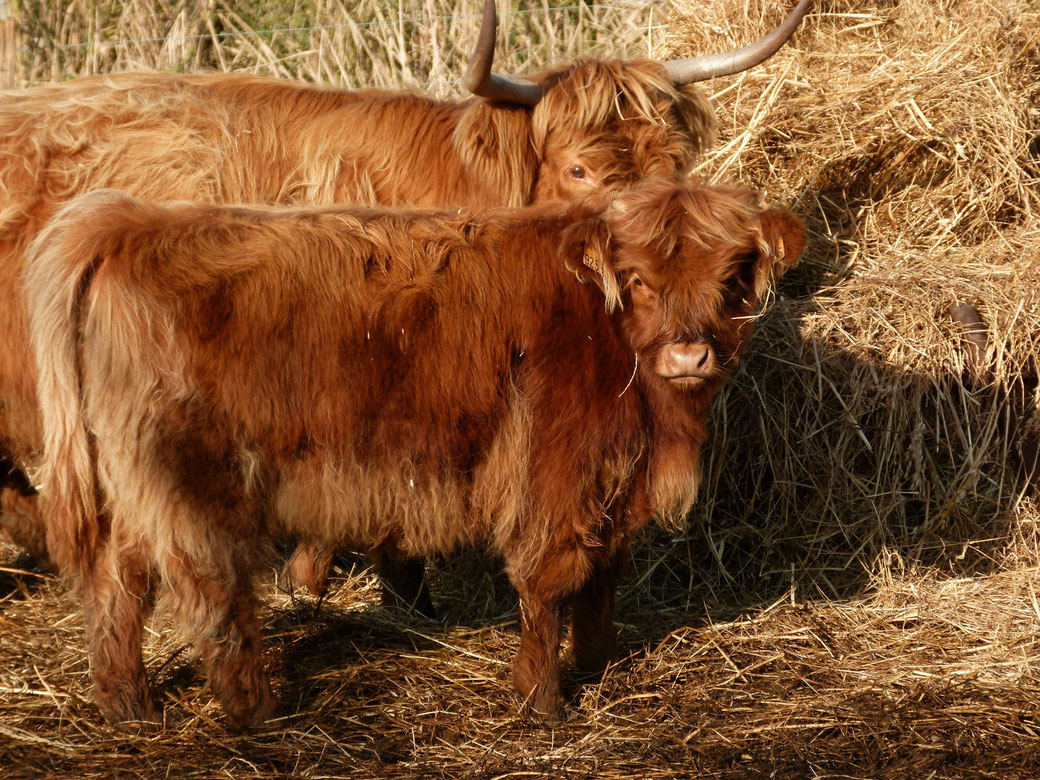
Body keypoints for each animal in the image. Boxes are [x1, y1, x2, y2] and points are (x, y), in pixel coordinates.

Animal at [26, 179, 805, 728]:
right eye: (639, 277)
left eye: (733, 277)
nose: (688, 354)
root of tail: (125, 225)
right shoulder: (556, 472)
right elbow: (550, 583)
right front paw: (542, 700)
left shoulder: (612, 484)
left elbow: (602, 576)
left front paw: (596, 662)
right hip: (192, 476)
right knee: (208, 585)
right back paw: (253, 711)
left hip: (127, 474)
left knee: (119, 578)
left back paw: (128, 704)